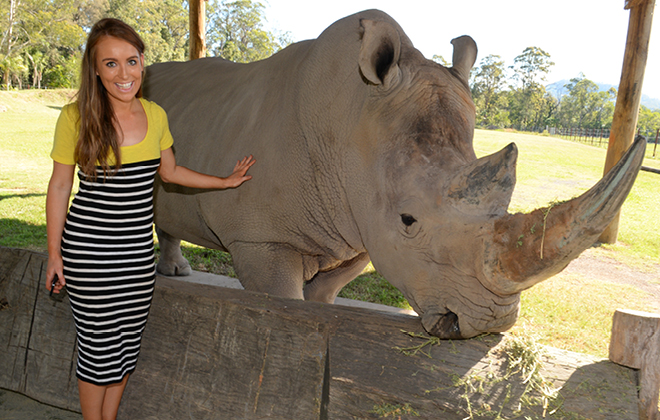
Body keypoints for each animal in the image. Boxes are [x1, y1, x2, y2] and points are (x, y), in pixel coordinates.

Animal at [143, 9, 645, 339]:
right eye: (409, 220)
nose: (488, 323)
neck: (350, 132)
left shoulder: (359, 225)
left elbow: (327, 293)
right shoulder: (260, 238)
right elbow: (284, 299)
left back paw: (176, 272)